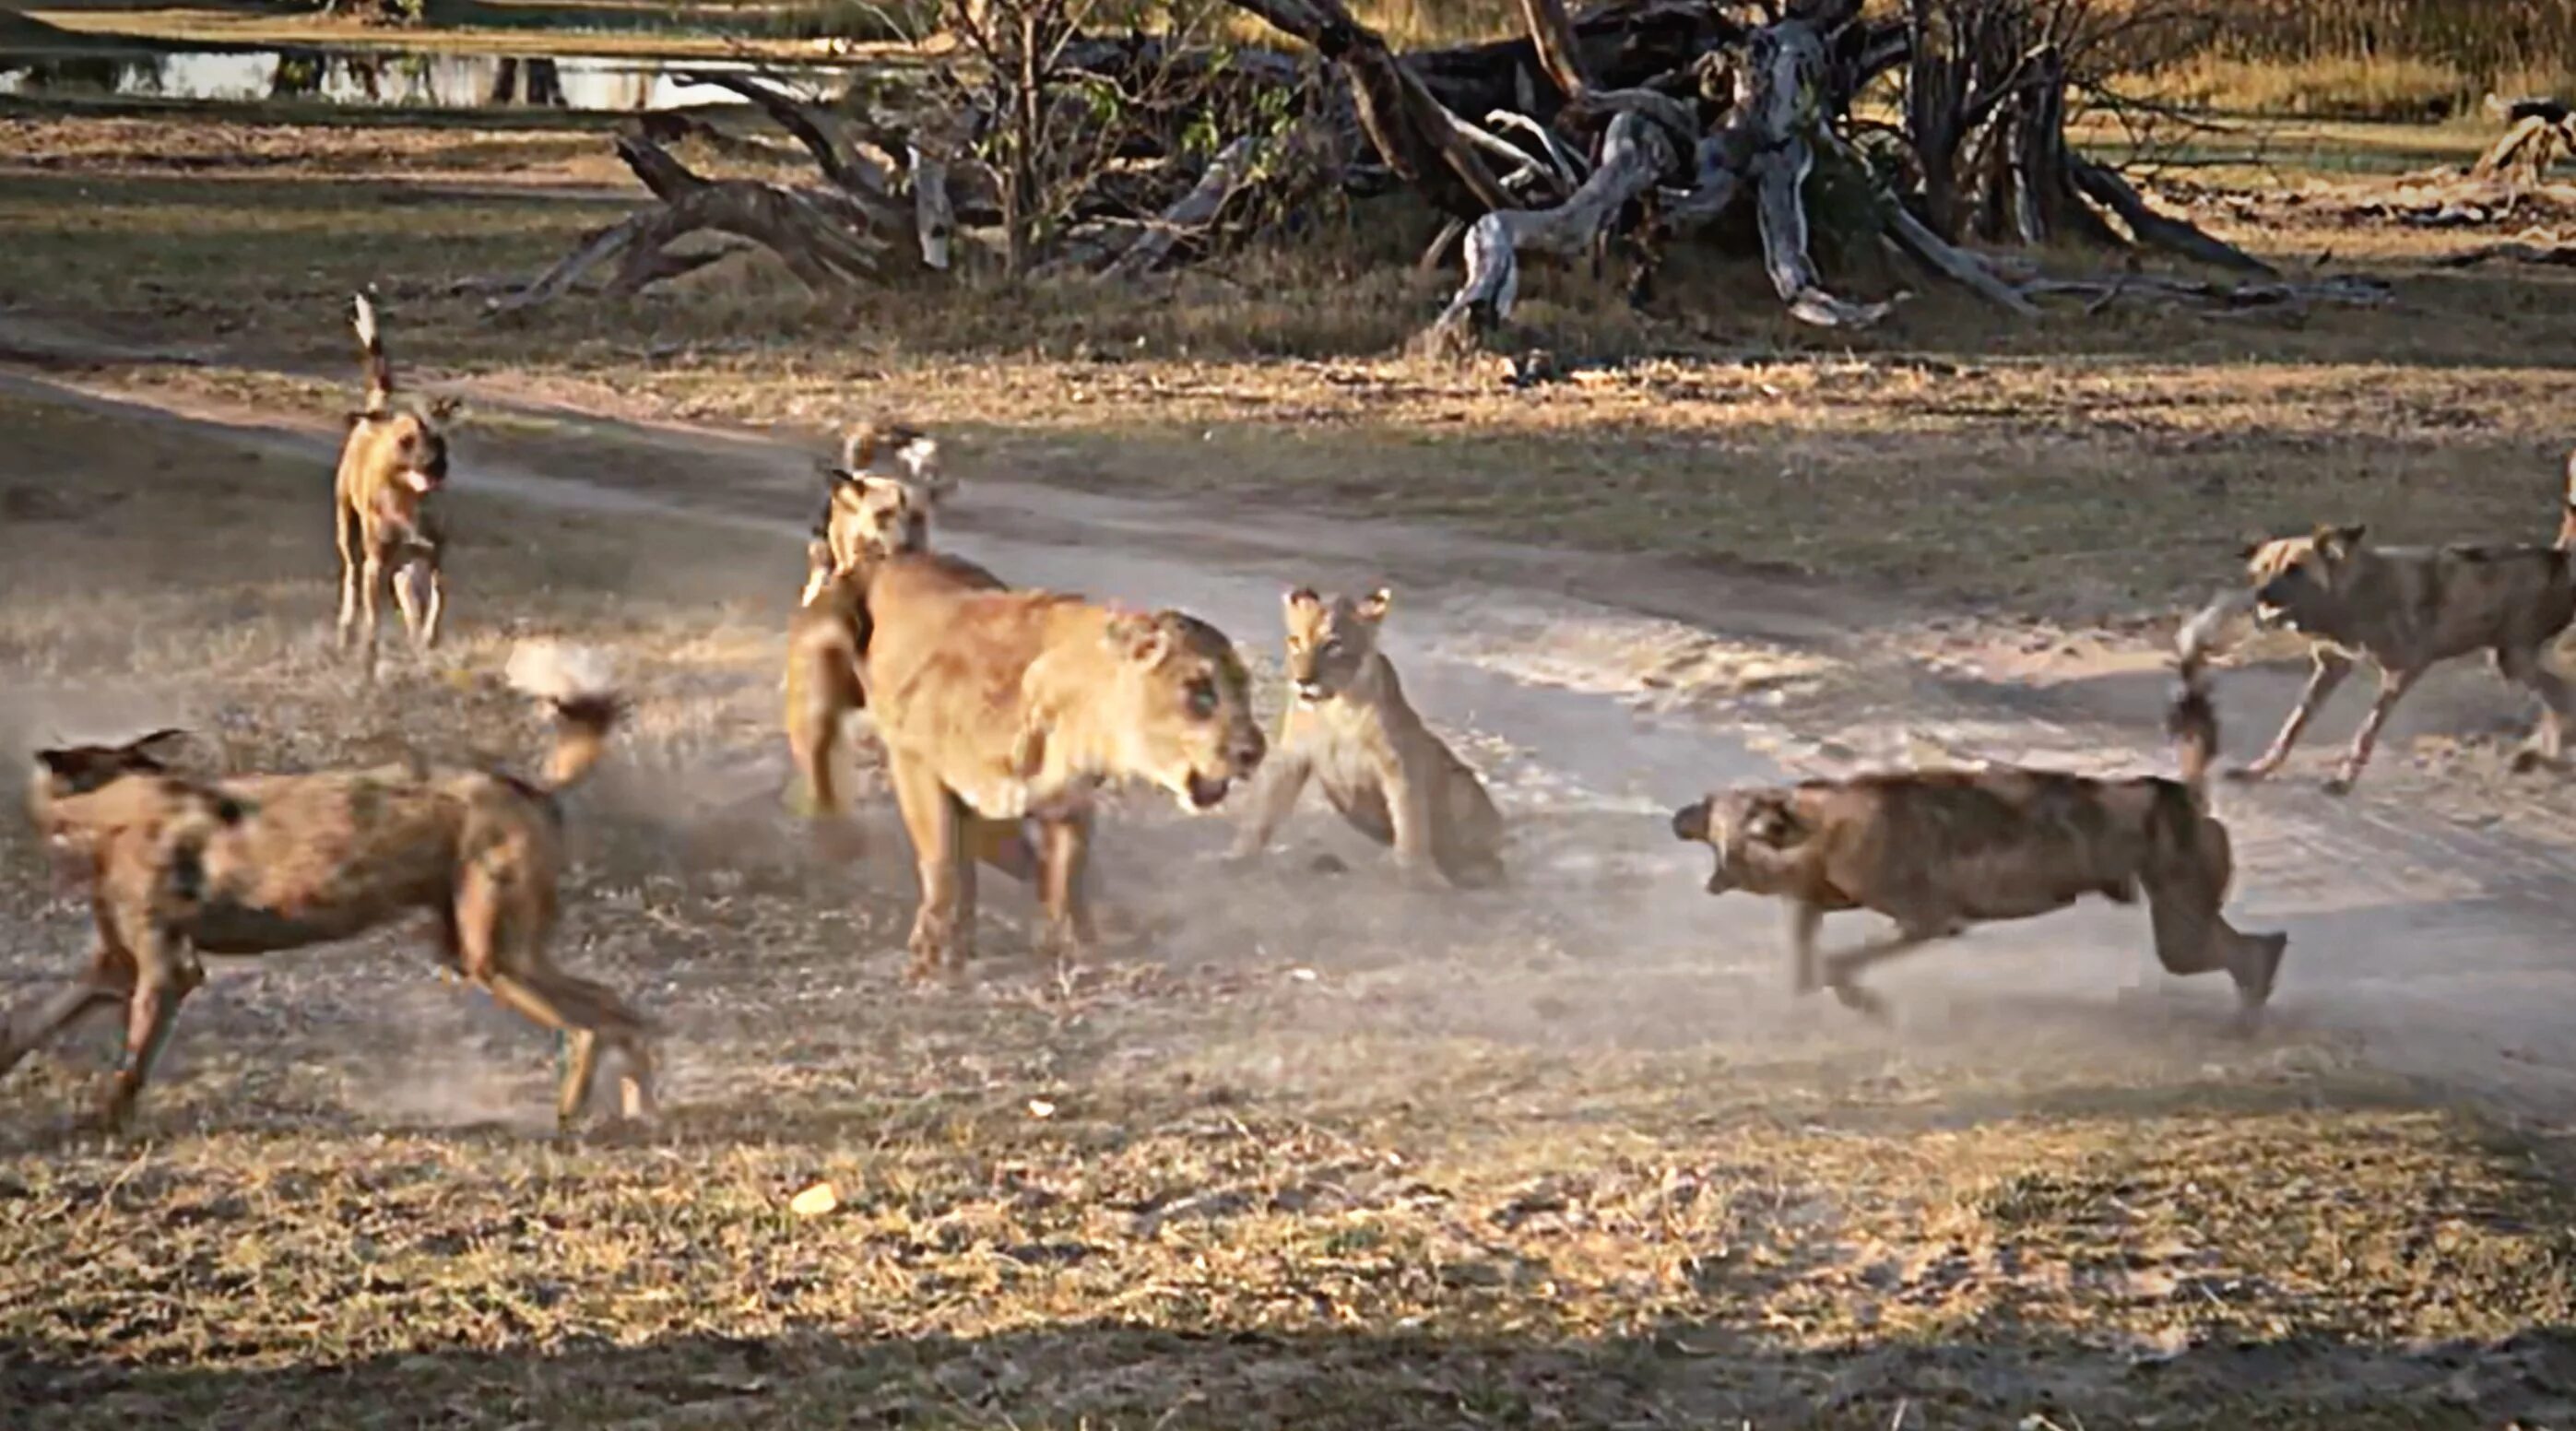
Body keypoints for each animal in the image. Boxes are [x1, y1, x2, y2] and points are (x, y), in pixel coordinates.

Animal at [332, 293, 458, 680]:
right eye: (405, 441)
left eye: (439, 440)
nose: (436, 466)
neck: (407, 502)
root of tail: (376, 412)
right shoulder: (377, 564)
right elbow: (372, 624)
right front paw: (368, 662)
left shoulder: (434, 556)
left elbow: (438, 600)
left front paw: (429, 638)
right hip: (349, 537)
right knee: (351, 580)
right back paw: (346, 633)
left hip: (406, 563)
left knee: (409, 594)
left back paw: (416, 636)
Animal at [1231, 582, 1504, 886]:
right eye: (1295, 641)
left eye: (1333, 644)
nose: (1303, 681)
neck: (1335, 708)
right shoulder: (1291, 757)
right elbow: (1262, 812)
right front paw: (1237, 860)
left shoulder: (1400, 763)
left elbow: (1410, 821)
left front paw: (1415, 876)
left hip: (1460, 785)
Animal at [1679, 610, 2287, 1036]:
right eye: (1711, 810)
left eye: (1717, 824)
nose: (1678, 817)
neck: (1823, 826)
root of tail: (2181, 791)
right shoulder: (1822, 901)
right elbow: (1809, 960)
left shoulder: (1930, 922)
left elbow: (1836, 964)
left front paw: (1868, 1006)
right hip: (2184, 930)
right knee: (2259, 949)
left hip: (2181, 939)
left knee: (2254, 954)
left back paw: (2246, 1025)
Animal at [2215, 513, 2576, 794]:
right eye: (2264, 569)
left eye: (2295, 570)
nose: (2260, 593)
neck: (2350, 597)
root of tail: (2559, 557)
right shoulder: (2331, 668)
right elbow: (2291, 729)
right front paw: (2259, 770)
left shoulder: (2402, 672)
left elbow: (2365, 733)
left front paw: (2344, 781)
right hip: (2509, 660)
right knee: (2557, 698)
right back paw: (2541, 755)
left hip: (2513, 659)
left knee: (2560, 696)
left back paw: (2547, 756)